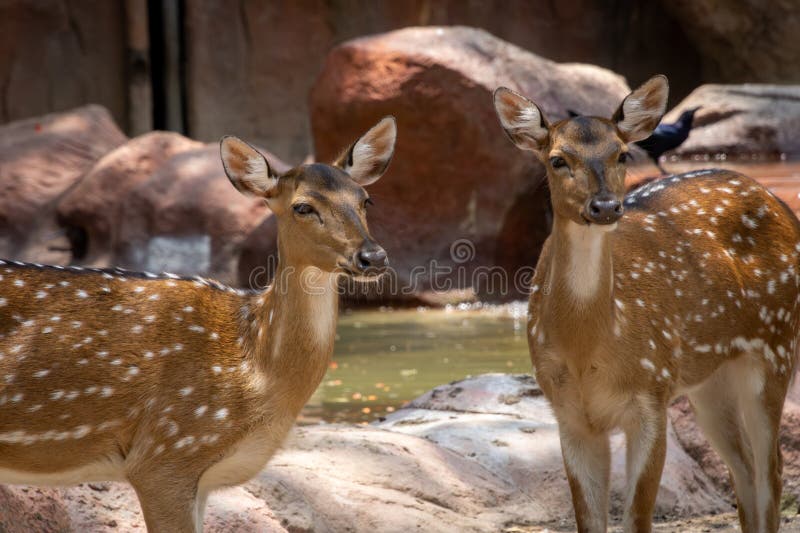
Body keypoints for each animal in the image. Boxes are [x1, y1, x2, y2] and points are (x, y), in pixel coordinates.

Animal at [494, 76, 799, 533]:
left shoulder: (651, 393)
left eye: (622, 154)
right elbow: (589, 521)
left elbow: (637, 518)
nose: (605, 206)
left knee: (771, 472)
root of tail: (781, 206)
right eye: (557, 159)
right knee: (743, 473)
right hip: (710, 380)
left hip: (775, 348)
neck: (589, 351)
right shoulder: (568, 413)